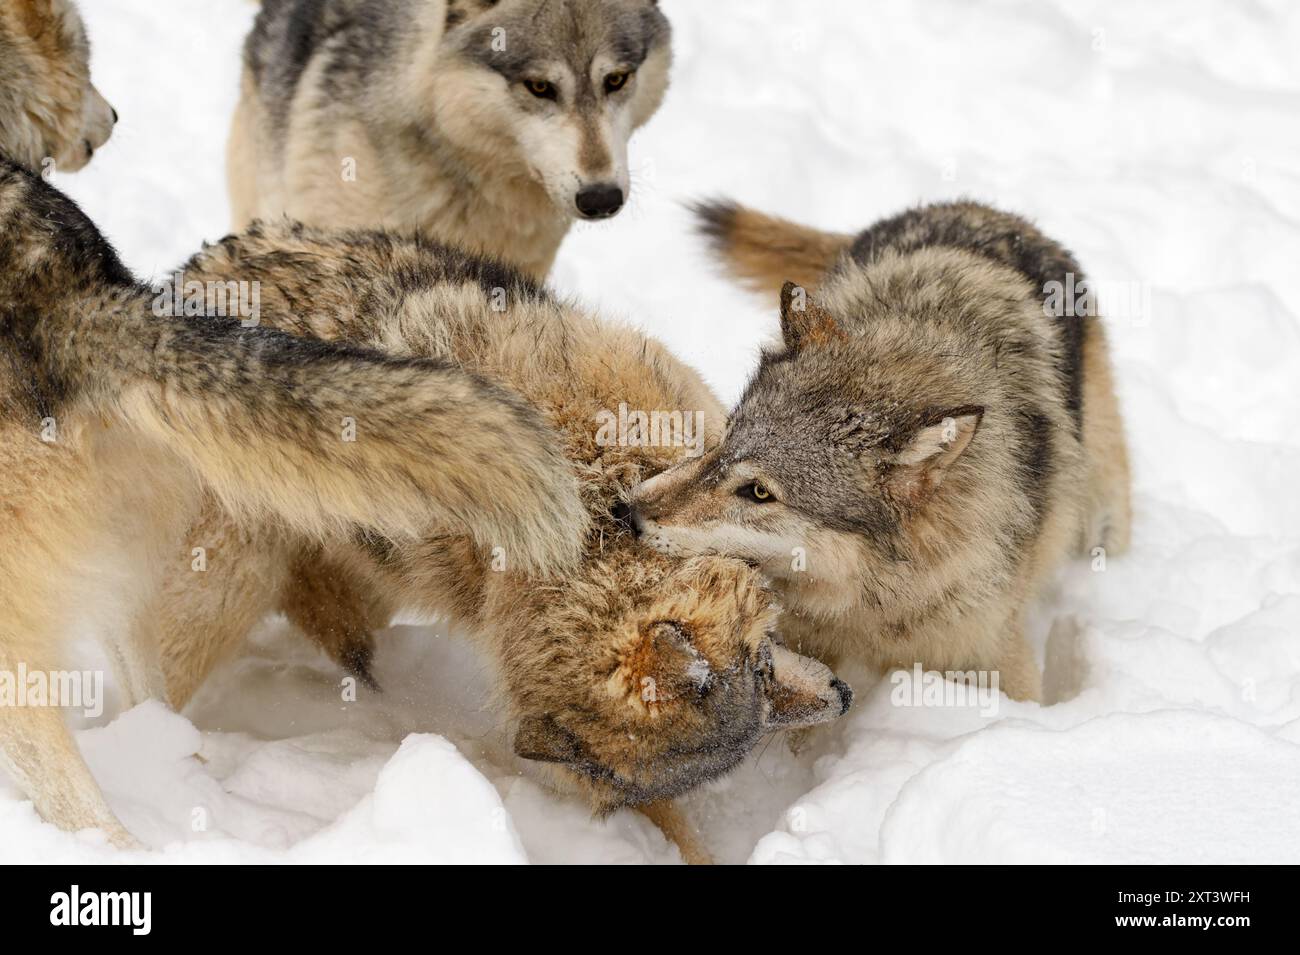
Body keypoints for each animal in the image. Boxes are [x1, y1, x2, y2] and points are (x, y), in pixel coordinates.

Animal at [628, 200, 1133, 702]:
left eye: (758, 492)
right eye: (724, 441)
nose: (625, 511)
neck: (878, 607)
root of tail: (979, 208)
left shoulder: (994, 660)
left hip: (1099, 515)